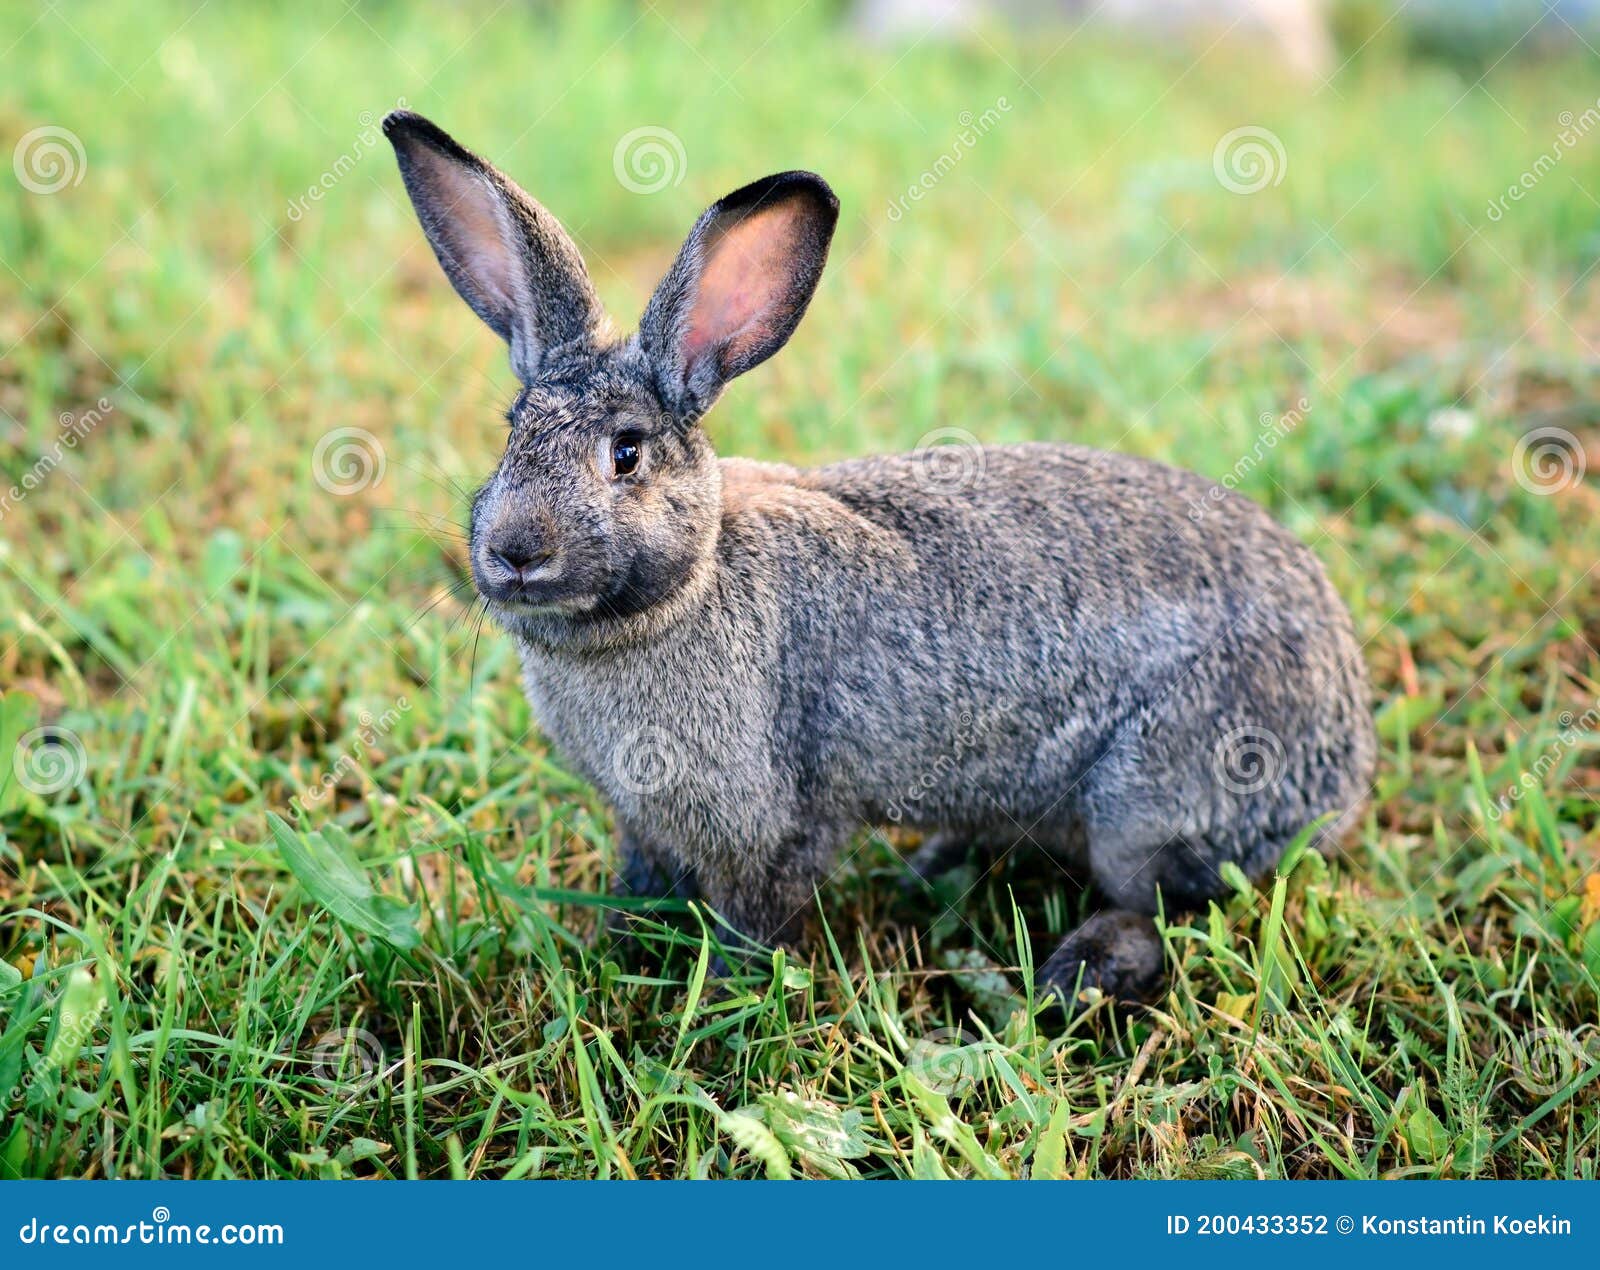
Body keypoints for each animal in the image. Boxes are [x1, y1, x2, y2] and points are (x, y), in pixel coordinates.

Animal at [382, 110, 1376, 1006]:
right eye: (511, 431)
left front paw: (723, 1003)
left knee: (1177, 906)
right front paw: (622, 948)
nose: (514, 551)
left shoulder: (775, 826)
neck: (685, 588)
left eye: (626, 453)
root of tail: (1348, 746)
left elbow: (754, 920)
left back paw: (1079, 971)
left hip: (1153, 801)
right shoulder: (644, 823)